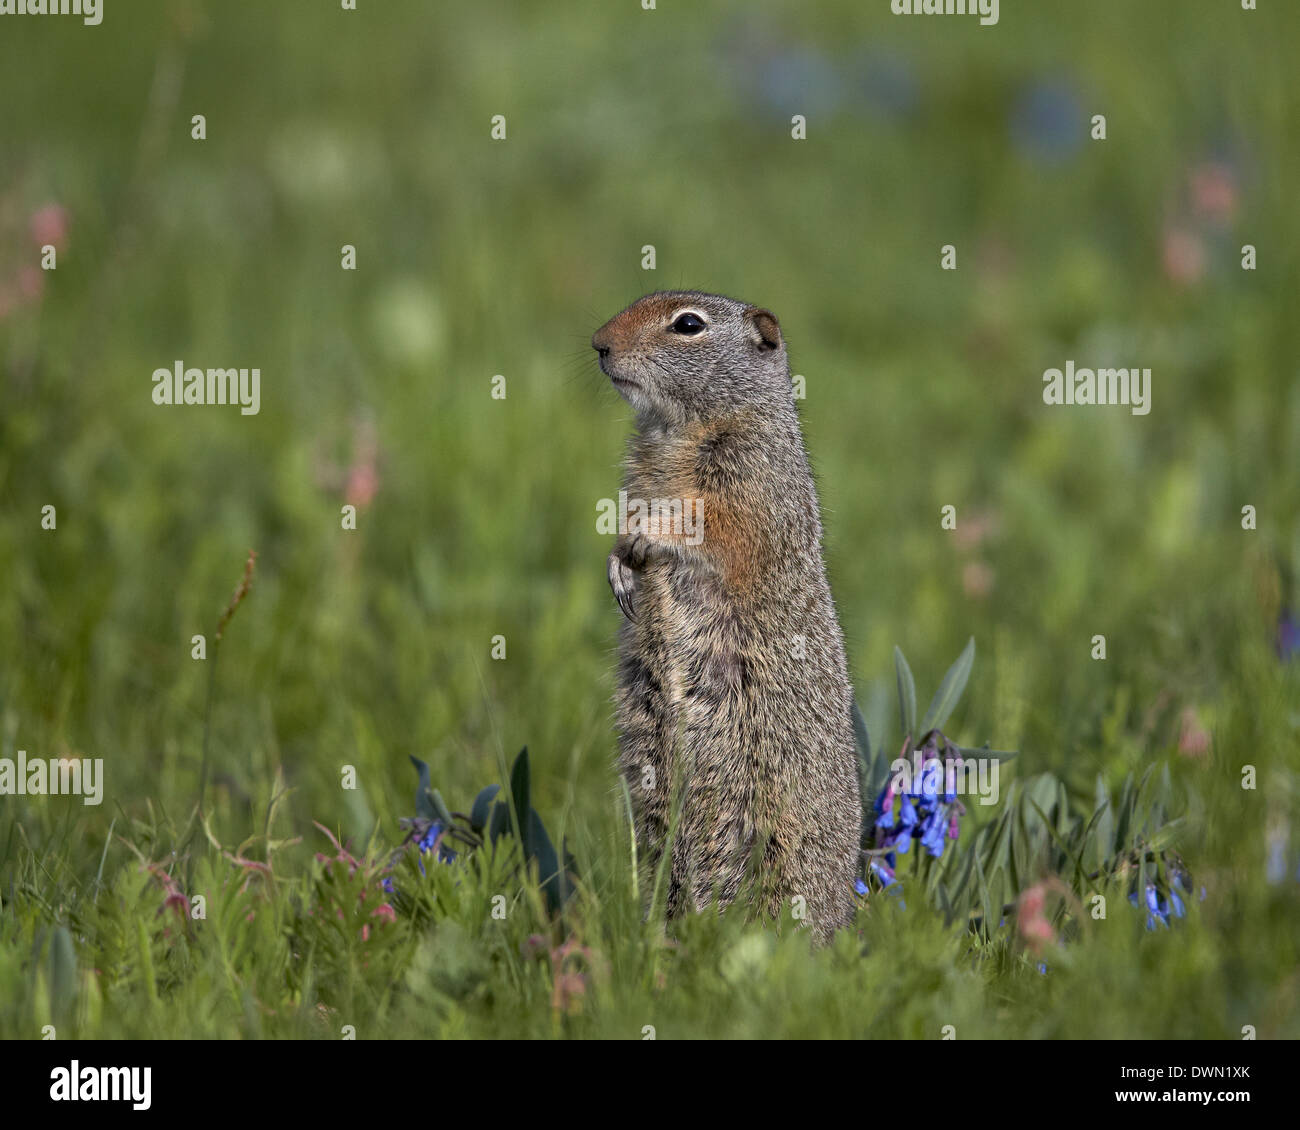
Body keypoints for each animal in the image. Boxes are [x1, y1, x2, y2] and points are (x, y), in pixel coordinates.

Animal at [592, 290, 862, 943]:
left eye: (688, 324)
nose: (598, 343)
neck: (677, 430)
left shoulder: (748, 472)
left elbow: (712, 523)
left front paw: (644, 539)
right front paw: (617, 564)